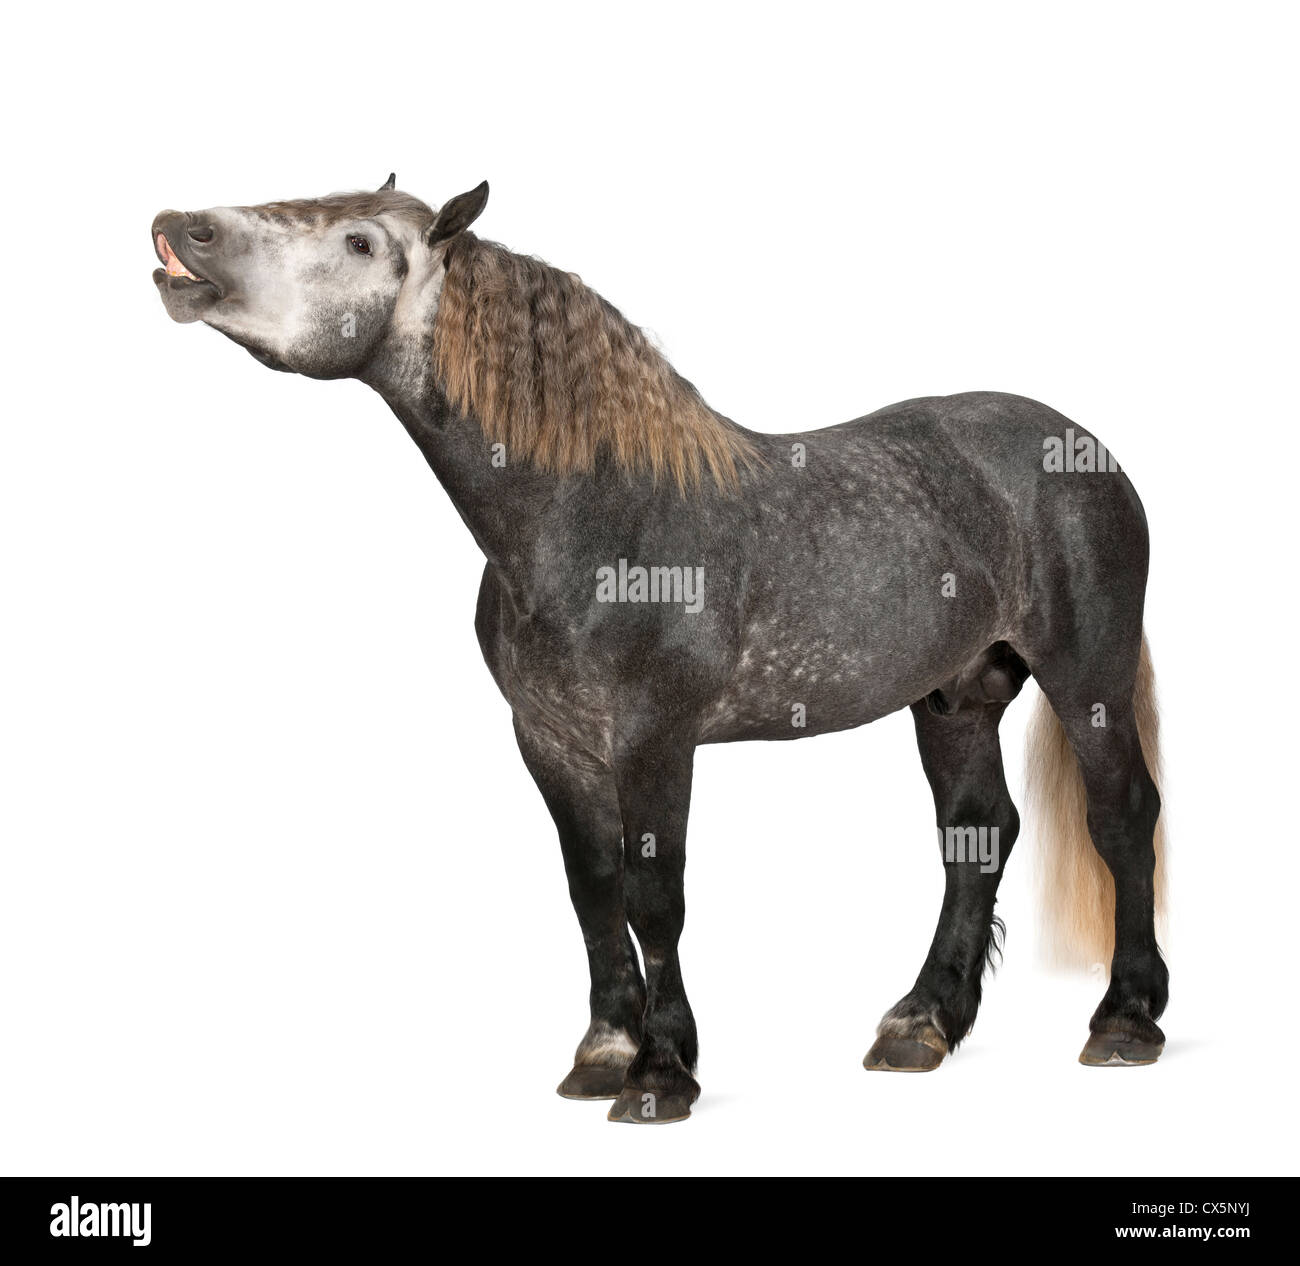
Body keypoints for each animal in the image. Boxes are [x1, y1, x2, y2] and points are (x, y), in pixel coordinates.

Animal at [151, 175, 1168, 1124]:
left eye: (360, 242)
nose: (177, 230)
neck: (596, 519)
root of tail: (1083, 448)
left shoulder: (655, 739)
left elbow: (654, 895)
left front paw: (661, 1073)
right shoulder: (550, 742)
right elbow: (593, 889)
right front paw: (603, 1053)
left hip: (1087, 675)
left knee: (1122, 817)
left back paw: (1124, 1021)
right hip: (955, 694)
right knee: (976, 832)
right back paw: (919, 1024)